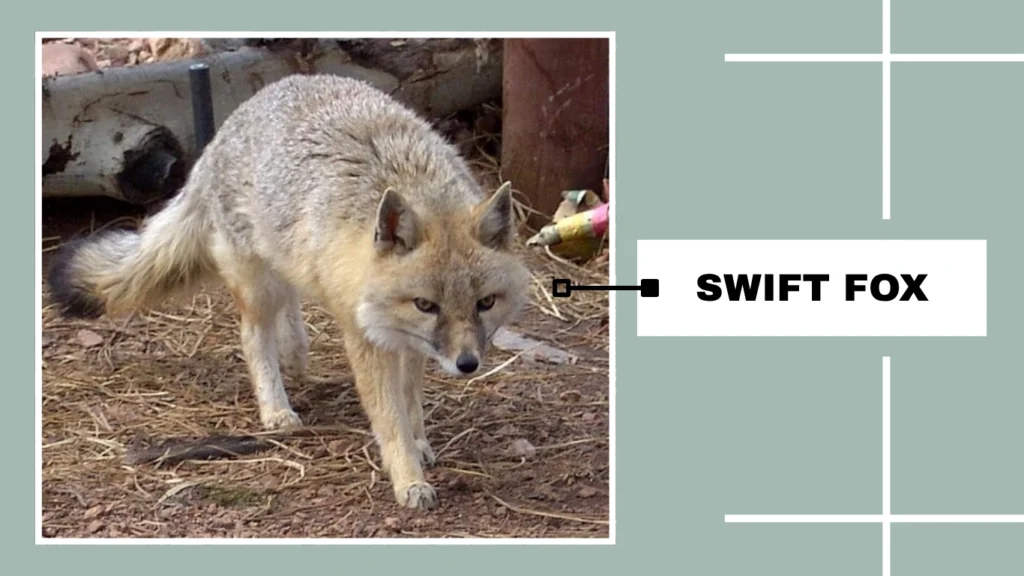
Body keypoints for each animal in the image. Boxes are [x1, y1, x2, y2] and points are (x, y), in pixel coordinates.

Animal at [45, 73, 532, 510]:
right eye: (427, 305)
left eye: (485, 303)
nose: (468, 365)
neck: (412, 182)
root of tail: (226, 129)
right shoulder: (368, 338)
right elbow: (389, 417)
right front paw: (408, 477)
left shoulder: (408, 341)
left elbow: (410, 401)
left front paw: (420, 442)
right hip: (257, 285)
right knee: (253, 337)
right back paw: (275, 406)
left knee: (290, 300)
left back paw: (295, 349)